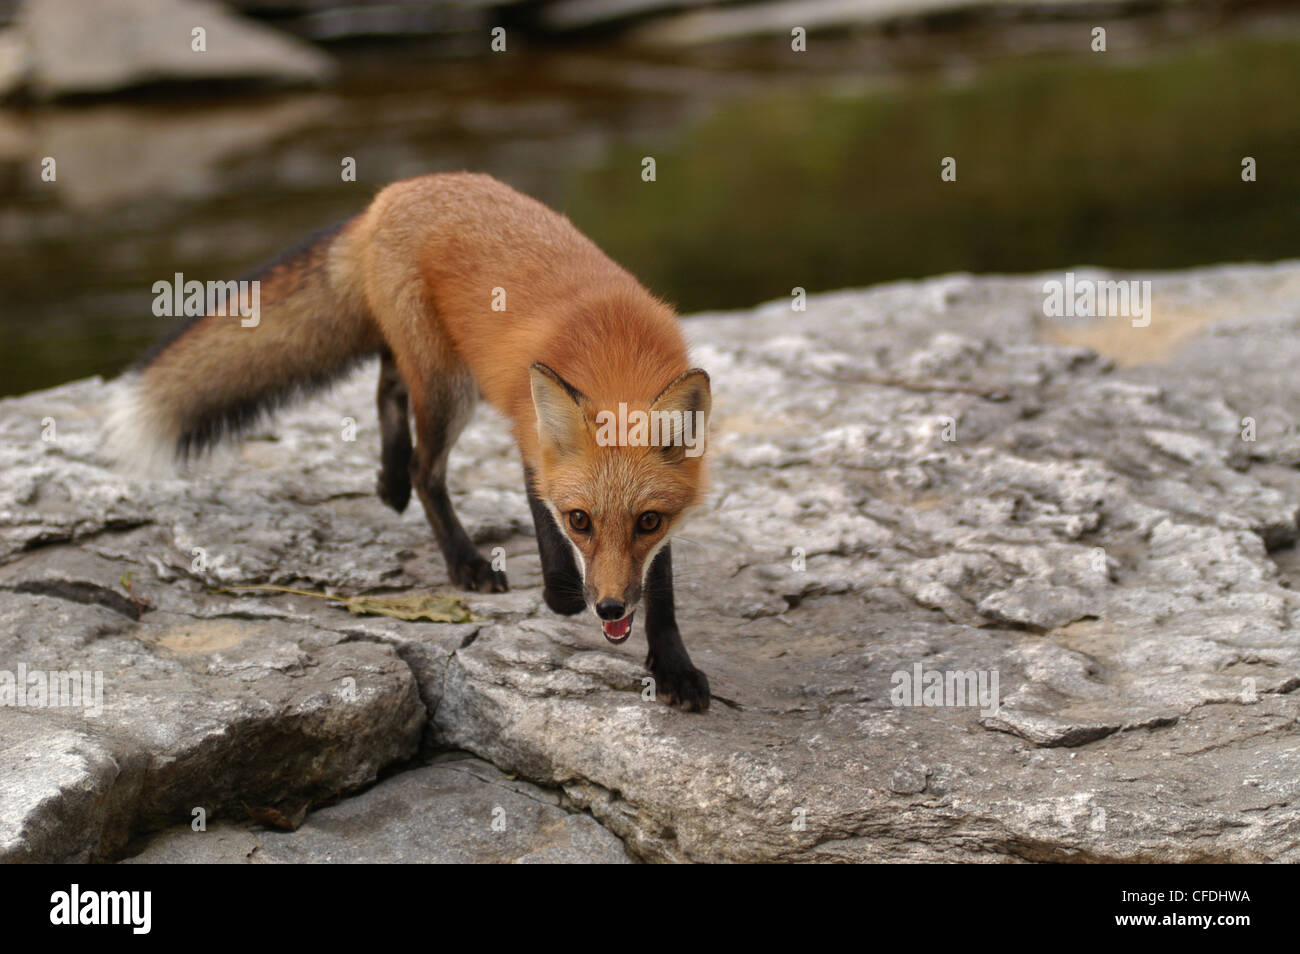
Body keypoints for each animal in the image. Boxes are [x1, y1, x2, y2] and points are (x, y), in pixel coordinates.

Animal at [109, 172, 713, 711]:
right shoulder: (532, 439)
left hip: (438, 372)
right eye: (579, 521)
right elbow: (545, 522)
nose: (608, 609)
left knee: (387, 380)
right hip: (449, 386)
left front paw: (673, 665)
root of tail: (393, 194)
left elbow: (661, 586)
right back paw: (461, 555)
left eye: (648, 522)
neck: (614, 353)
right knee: (426, 465)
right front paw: (560, 595)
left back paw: (389, 479)